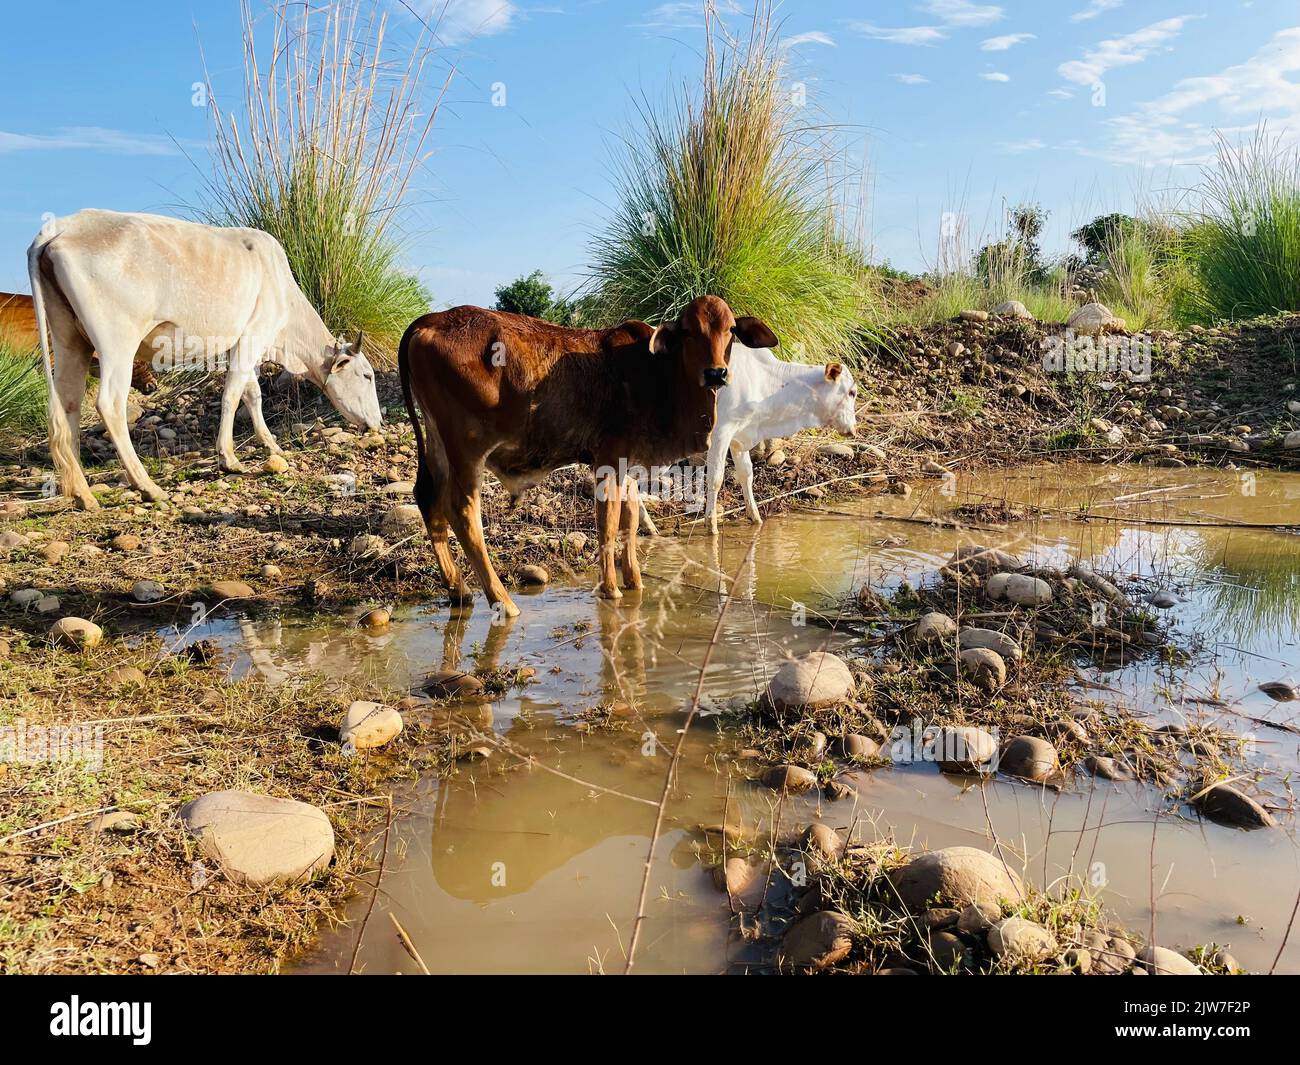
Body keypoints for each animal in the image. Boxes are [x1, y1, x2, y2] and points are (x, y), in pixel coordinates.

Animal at [27, 210, 383, 511]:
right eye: (367, 376)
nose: (378, 423)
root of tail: (62, 226)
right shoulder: (253, 335)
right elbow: (233, 395)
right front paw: (228, 457)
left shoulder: (239, 343)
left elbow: (252, 394)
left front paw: (272, 446)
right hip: (117, 341)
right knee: (109, 404)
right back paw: (147, 486)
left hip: (70, 339)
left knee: (67, 405)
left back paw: (83, 494)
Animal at [399, 296, 778, 616]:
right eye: (688, 331)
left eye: (730, 329)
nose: (716, 373)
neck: (658, 375)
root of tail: (432, 319)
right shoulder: (608, 459)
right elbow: (607, 523)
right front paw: (611, 589)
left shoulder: (630, 466)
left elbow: (630, 520)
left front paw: (635, 582)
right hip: (467, 446)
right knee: (462, 511)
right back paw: (502, 601)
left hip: (437, 442)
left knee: (429, 500)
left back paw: (459, 591)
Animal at [640, 342, 857, 535]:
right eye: (852, 392)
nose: (853, 429)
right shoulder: (721, 431)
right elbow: (715, 478)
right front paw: (712, 527)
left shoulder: (740, 436)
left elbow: (746, 474)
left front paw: (756, 519)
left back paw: (649, 526)